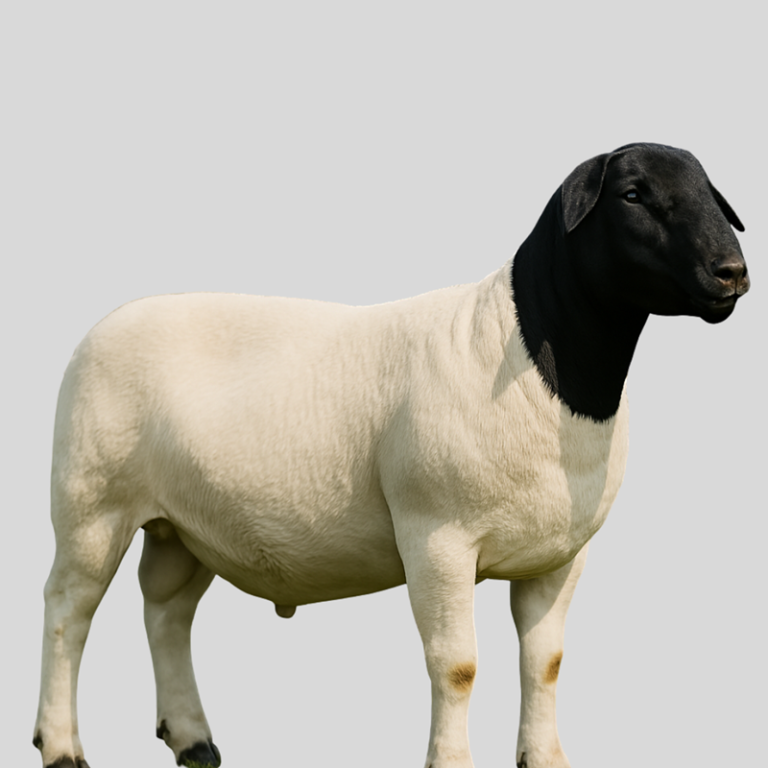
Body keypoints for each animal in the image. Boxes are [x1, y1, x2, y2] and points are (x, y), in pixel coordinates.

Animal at [33, 143, 749, 768]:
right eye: (633, 194)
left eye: (711, 193)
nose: (734, 272)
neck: (535, 359)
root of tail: (105, 324)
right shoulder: (437, 536)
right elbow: (456, 665)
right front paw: (450, 762)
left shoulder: (563, 554)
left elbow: (544, 662)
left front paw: (546, 759)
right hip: (92, 501)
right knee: (69, 611)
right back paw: (62, 745)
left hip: (182, 525)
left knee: (166, 611)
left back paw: (192, 740)